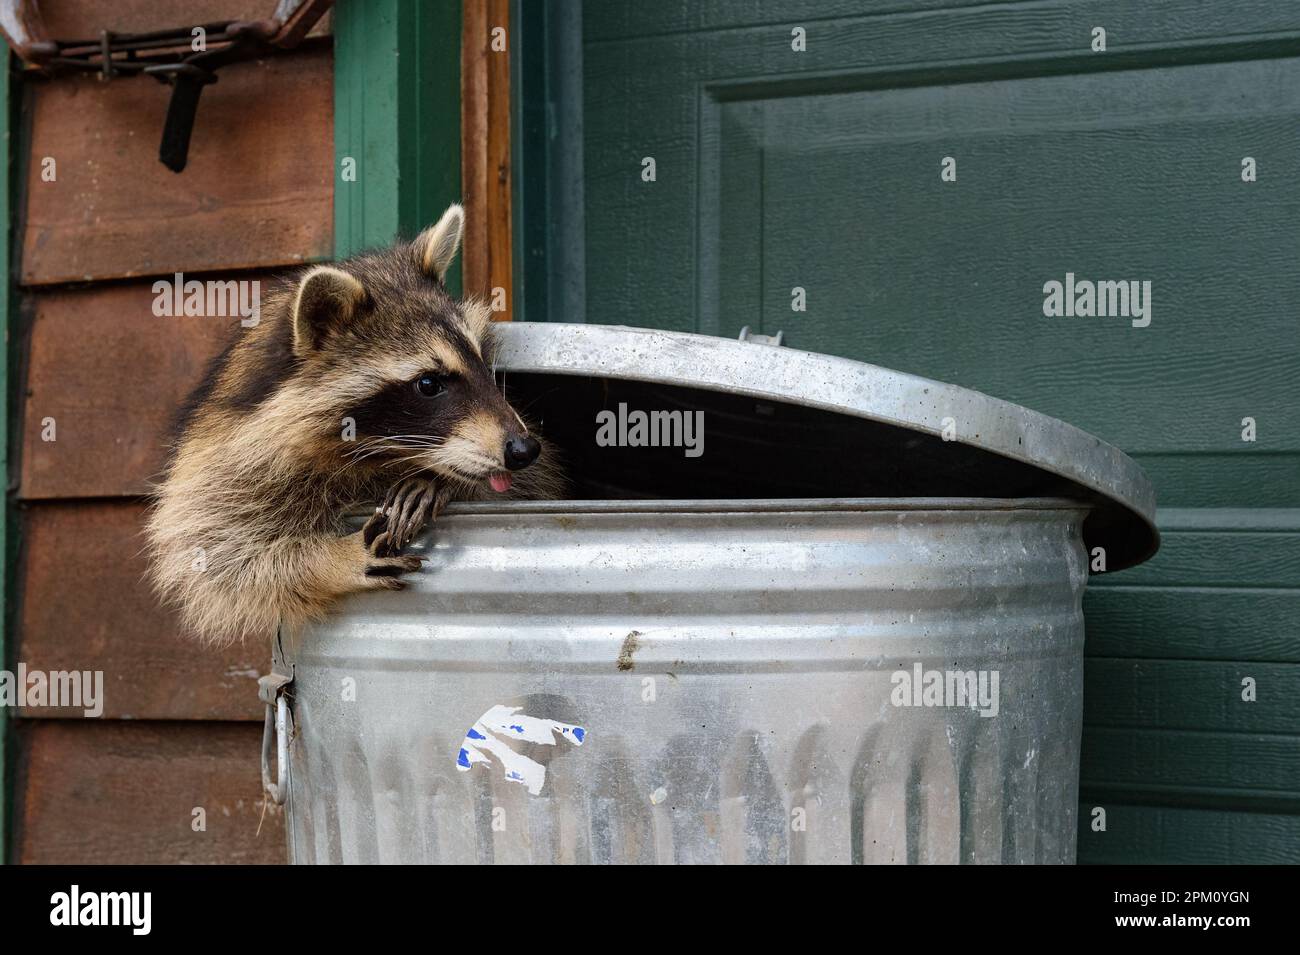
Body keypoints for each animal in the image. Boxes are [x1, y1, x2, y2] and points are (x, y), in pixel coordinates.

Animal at [145, 205, 563, 645]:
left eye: (483, 361)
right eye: (429, 384)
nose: (523, 449)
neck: (378, 454)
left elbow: (534, 485)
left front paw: (436, 481)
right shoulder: (221, 464)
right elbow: (220, 557)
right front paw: (330, 559)